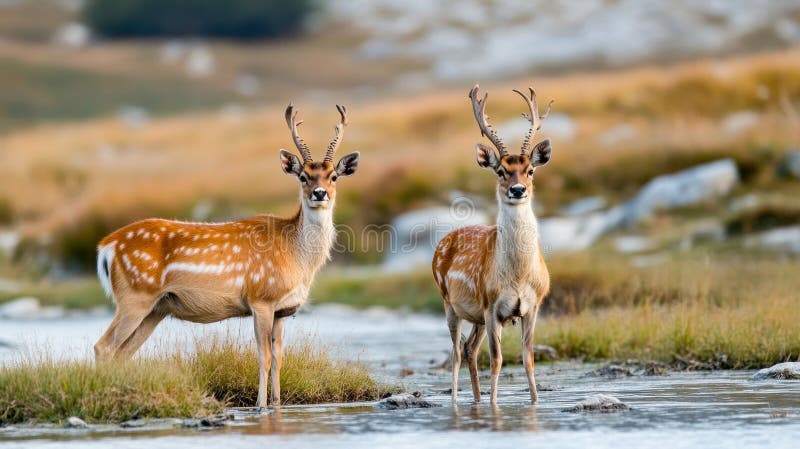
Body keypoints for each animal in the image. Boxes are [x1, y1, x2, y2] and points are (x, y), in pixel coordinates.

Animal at [93, 103, 360, 409]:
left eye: (334, 176)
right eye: (303, 176)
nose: (319, 193)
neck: (298, 258)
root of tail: (106, 247)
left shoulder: (282, 309)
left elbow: (279, 359)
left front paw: (277, 403)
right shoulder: (261, 297)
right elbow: (263, 358)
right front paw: (260, 405)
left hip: (157, 307)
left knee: (122, 352)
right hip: (134, 296)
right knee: (103, 347)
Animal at [432, 84, 553, 406]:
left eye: (530, 171)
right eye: (501, 171)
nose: (518, 189)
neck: (518, 275)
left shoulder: (533, 305)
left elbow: (528, 358)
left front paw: (535, 402)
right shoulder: (491, 305)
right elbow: (497, 359)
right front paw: (495, 404)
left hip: (475, 317)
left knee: (470, 349)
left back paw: (475, 399)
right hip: (450, 303)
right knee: (457, 352)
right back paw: (456, 401)